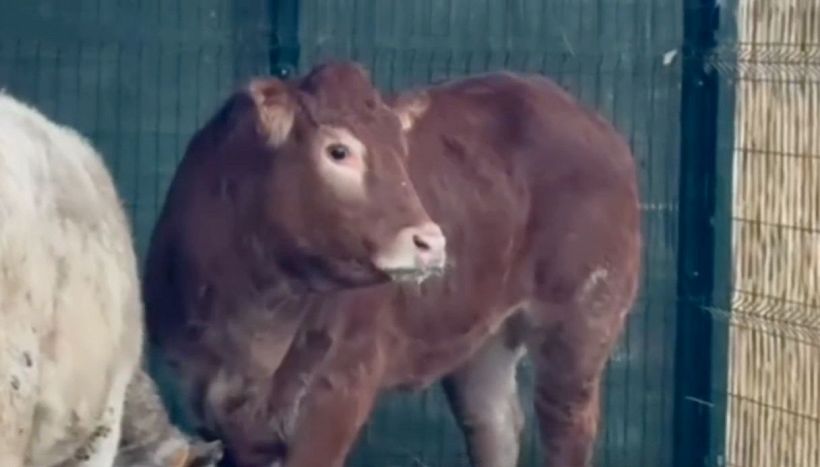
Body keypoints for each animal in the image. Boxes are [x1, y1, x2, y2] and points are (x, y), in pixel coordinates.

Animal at [143, 61, 641, 467]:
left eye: (403, 155)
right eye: (338, 151)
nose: (431, 242)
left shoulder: (339, 388)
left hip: (581, 325)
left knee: (566, 425)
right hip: (484, 346)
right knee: (494, 425)